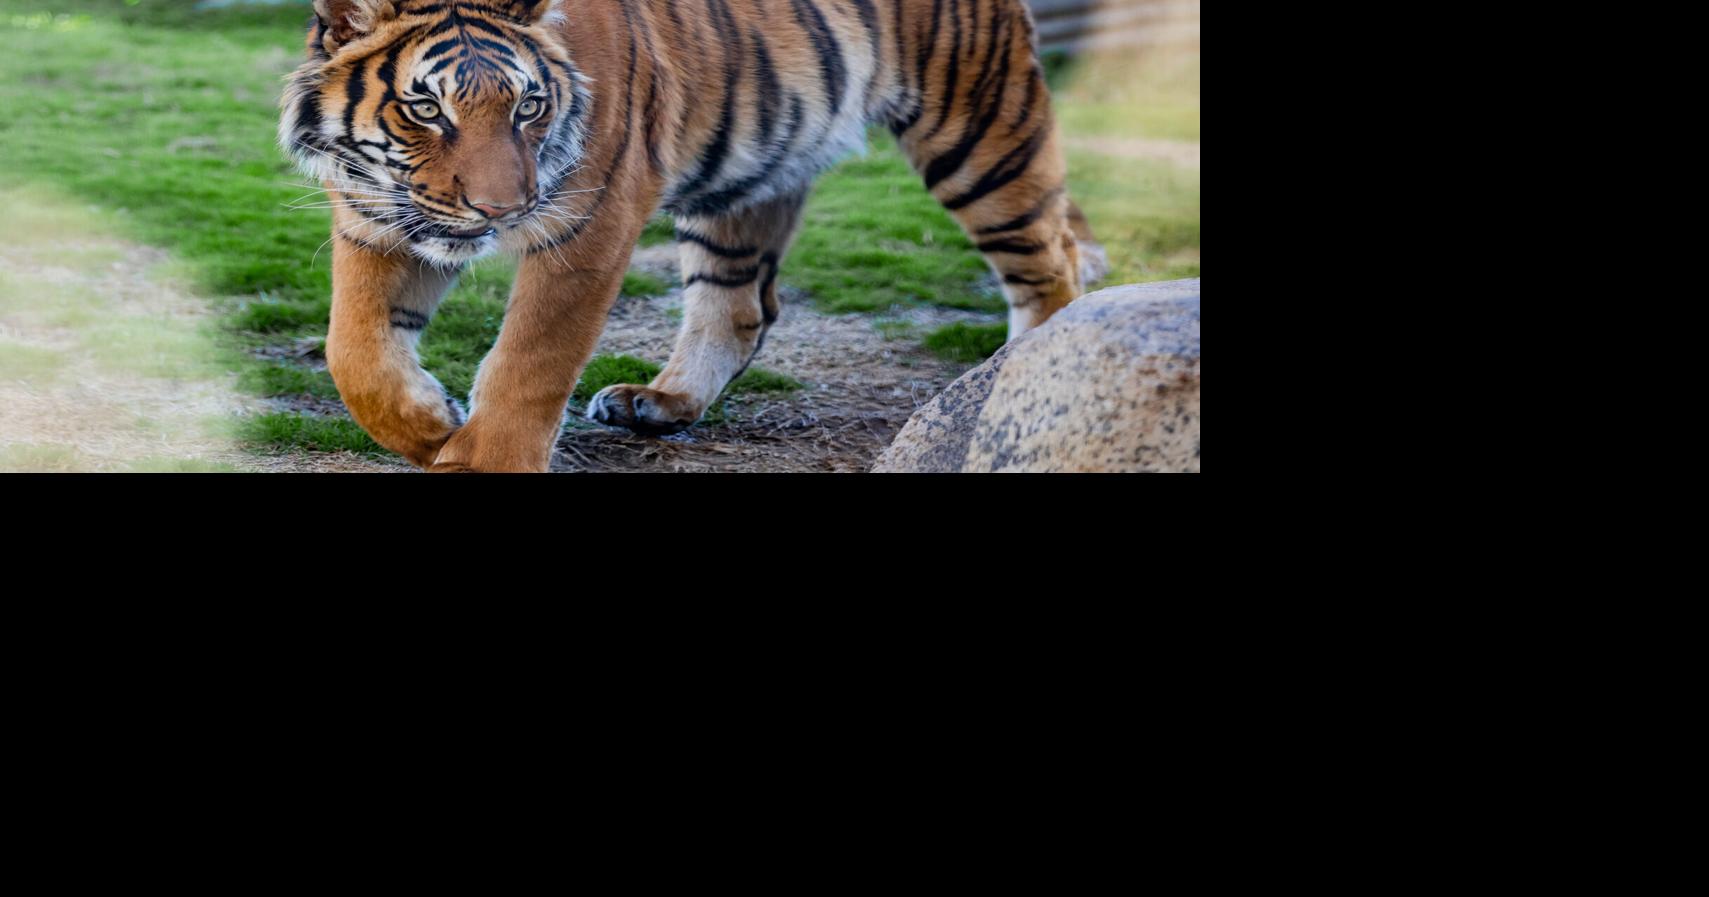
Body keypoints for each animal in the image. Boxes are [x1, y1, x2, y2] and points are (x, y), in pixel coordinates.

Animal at [280, 0, 1105, 472]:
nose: (504, 210)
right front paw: (431, 424)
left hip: (978, 129)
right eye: (425, 110)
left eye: (528, 108)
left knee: (1050, 262)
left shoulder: (590, 218)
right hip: (746, 176)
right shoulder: (375, 212)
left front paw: (480, 457)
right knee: (739, 307)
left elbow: (529, 362)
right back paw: (661, 400)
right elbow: (354, 352)